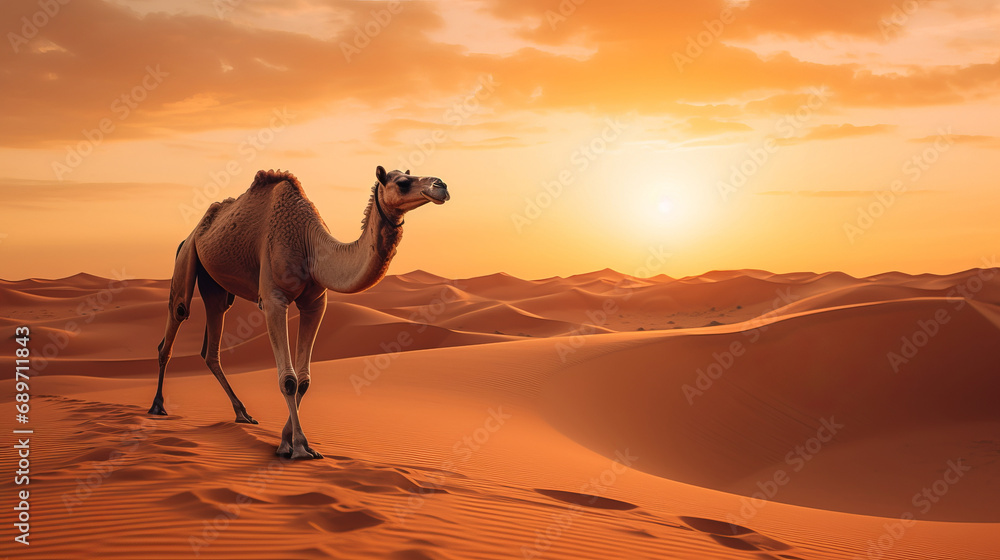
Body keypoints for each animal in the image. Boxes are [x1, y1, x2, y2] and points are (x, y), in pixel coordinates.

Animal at [148, 166, 449, 459]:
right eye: (402, 183)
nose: (442, 185)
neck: (309, 245)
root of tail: (192, 233)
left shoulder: (315, 302)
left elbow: (303, 380)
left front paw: (290, 441)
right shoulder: (273, 299)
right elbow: (289, 379)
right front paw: (297, 448)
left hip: (216, 285)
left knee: (211, 342)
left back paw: (243, 413)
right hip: (187, 256)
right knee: (177, 317)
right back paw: (157, 407)